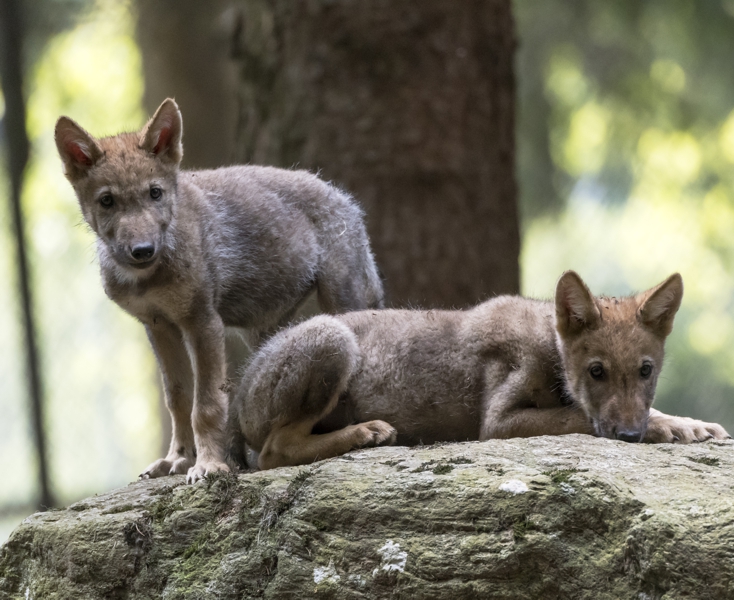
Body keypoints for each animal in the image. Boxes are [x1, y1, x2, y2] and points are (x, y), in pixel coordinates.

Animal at [55, 98, 384, 483]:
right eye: (107, 201)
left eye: (155, 193)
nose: (142, 250)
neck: (150, 276)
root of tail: (344, 198)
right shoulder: (159, 326)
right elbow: (178, 400)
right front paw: (178, 458)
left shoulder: (202, 322)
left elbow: (207, 404)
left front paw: (208, 464)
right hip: (266, 333)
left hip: (343, 302)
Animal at [236, 270, 729, 470]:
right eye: (596, 371)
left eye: (646, 371)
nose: (628, 435)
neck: (548, 349)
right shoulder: (497, 422)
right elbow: (580, 417)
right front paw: (664, 428)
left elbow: (647, 410)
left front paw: (687, 424)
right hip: (332, 339)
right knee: (275, 453)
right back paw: (364, 432)